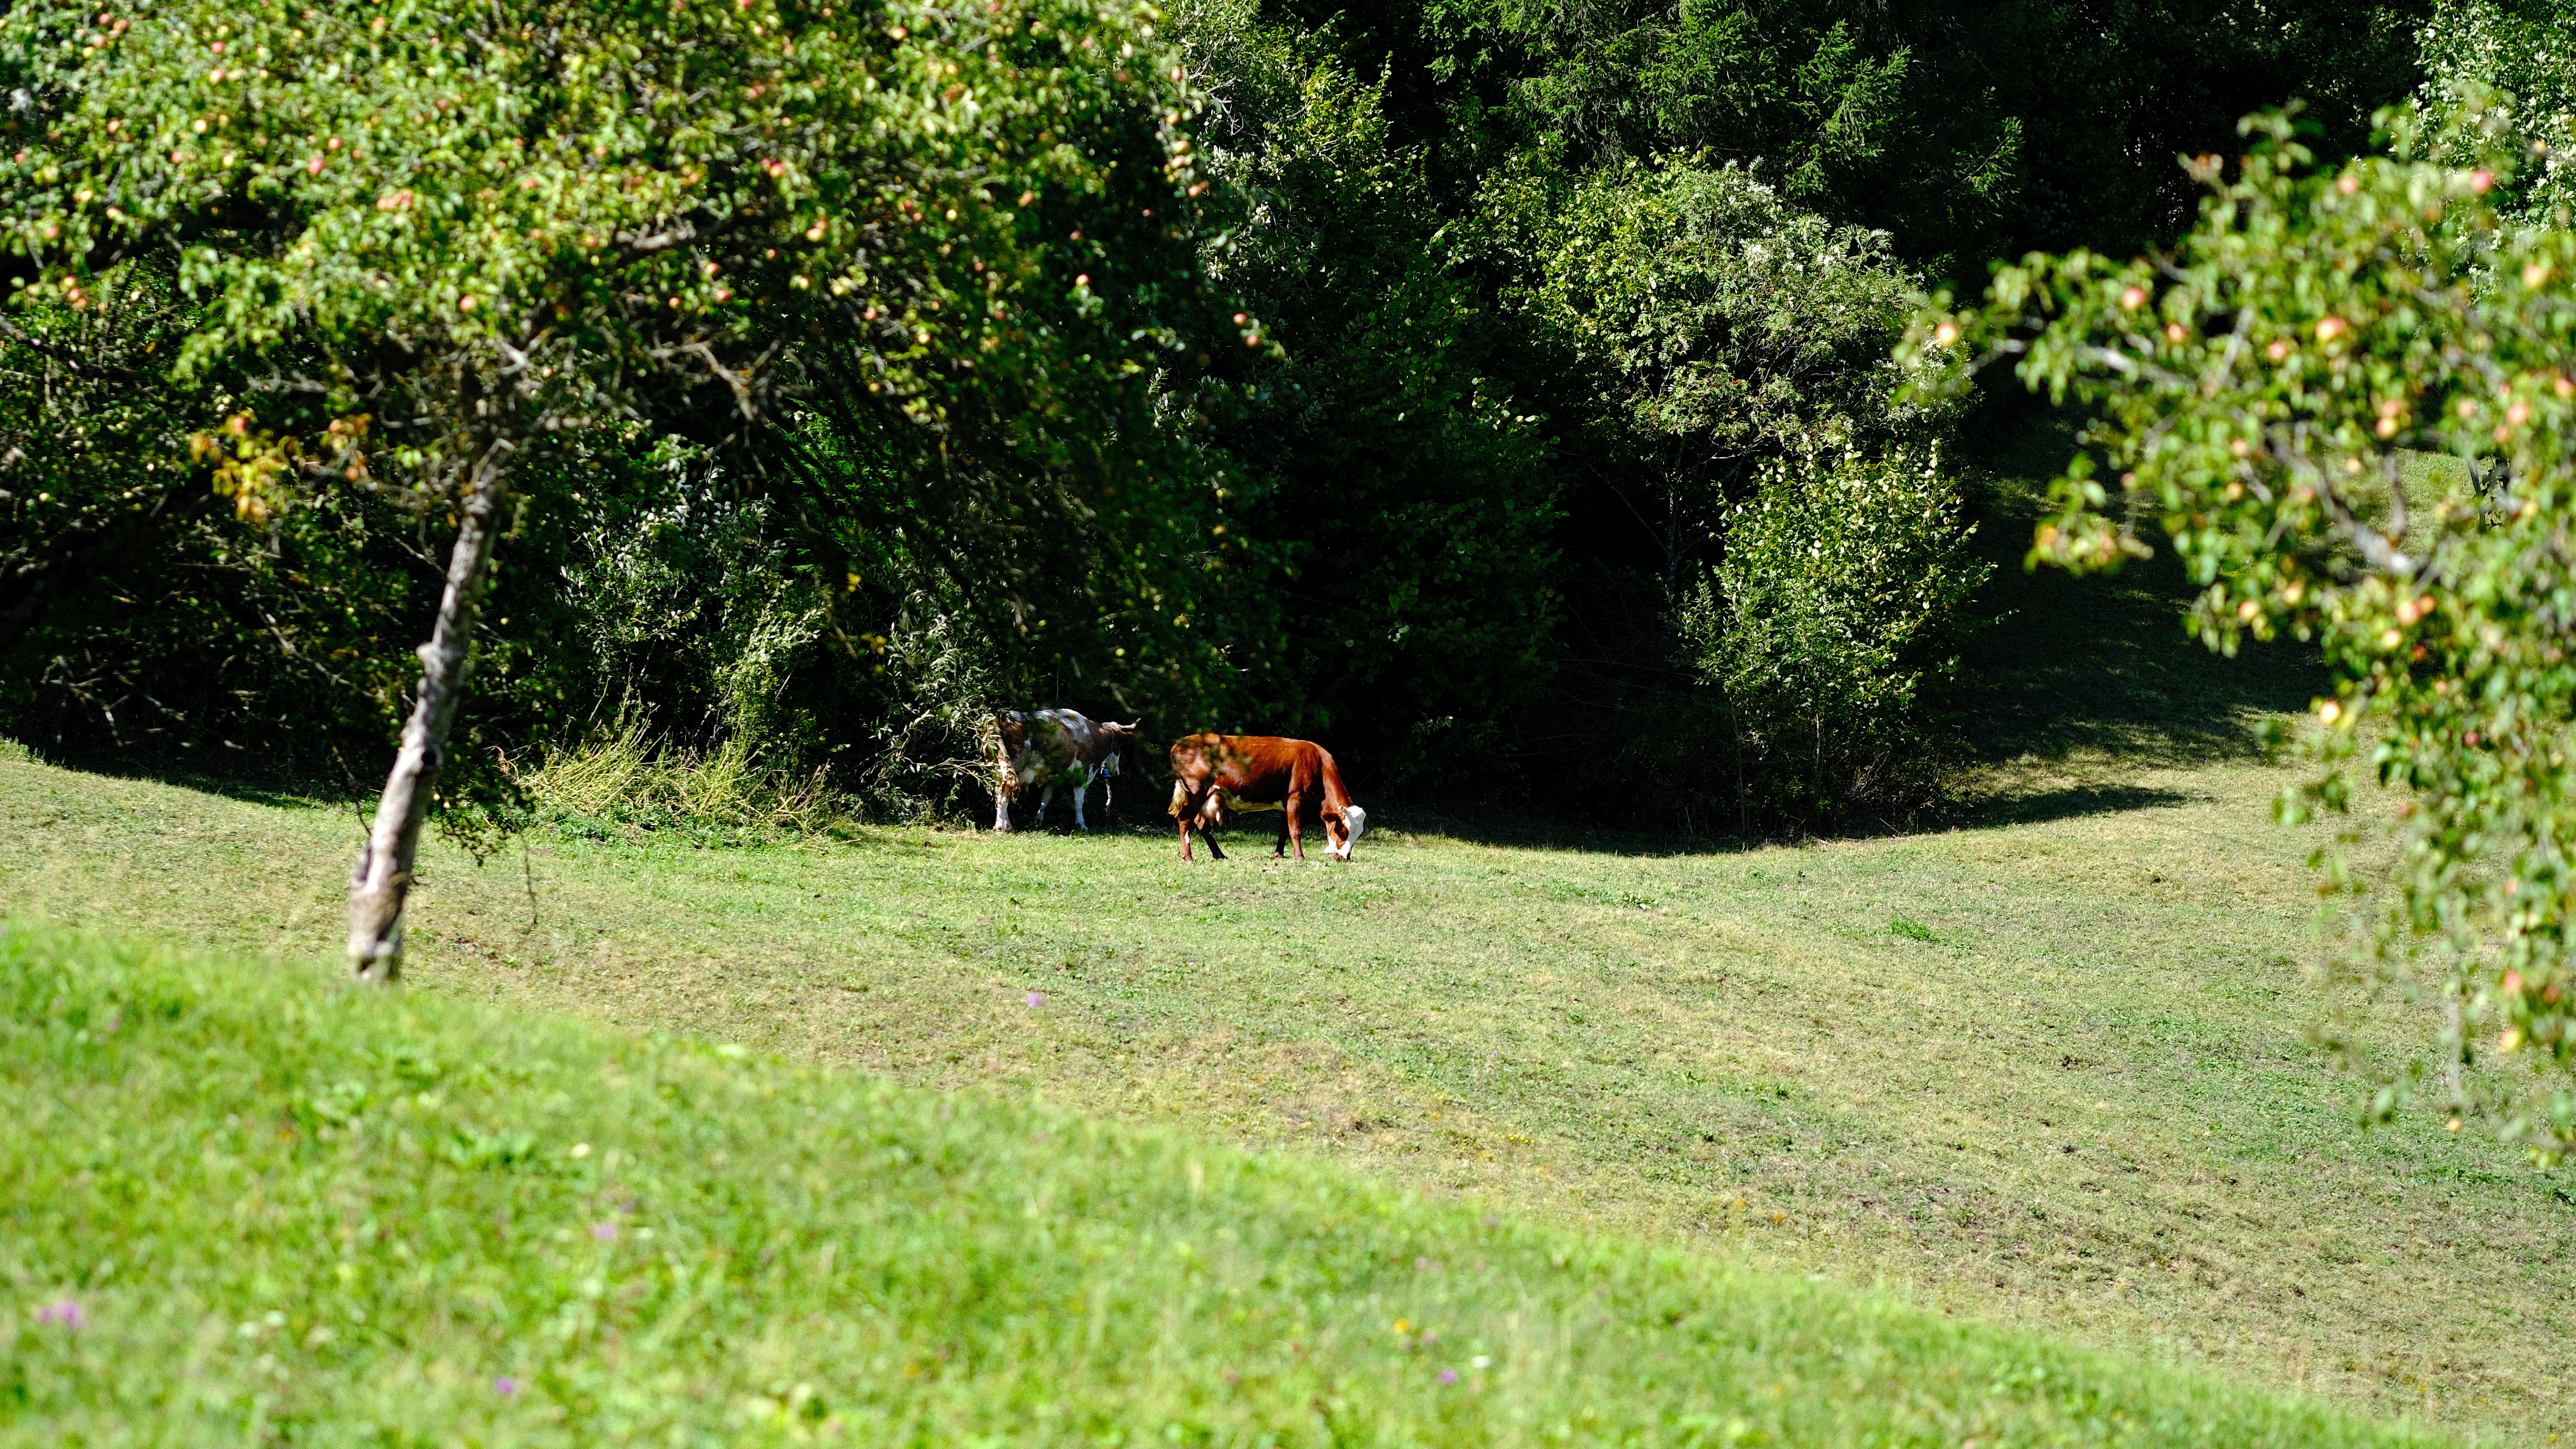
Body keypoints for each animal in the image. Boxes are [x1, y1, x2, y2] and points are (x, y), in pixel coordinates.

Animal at [992, 709, 1140, 833]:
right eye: (1120, 746)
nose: (1117, 772)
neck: (1092, 736)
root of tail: (1003, 716)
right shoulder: (1084, 773)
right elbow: (1079, 802)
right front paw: (1081, 825)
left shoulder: (1053, 777)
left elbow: (1046, 798)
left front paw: (1039, 820)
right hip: (1013, 767)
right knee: (1004, 792)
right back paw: (1002, 827)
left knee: (999, 792)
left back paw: (1006, 825)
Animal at [1167, 733, 1367, 862]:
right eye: (1344, 831)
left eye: (1358, 835)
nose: (1344, 858)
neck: (1318, 763)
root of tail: (1181, 743)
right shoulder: (1295, 798)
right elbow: (1296, 830)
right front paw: (1300, 858)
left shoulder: (1286, 804)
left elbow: (1284, 830)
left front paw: (1279, 855)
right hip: (1195, 792)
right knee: (1185, 822)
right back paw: (1189, 858)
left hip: (1207, 796)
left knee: (1201, 824)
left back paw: (1220, 855)